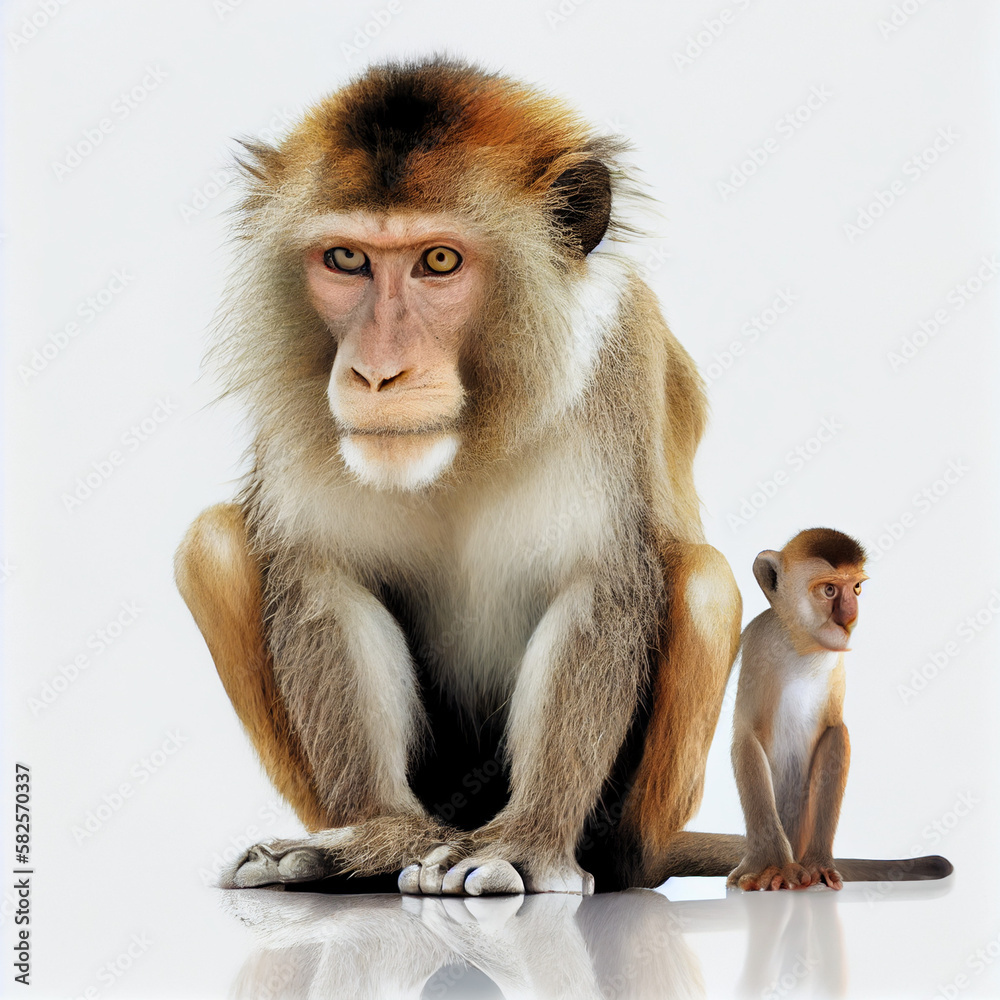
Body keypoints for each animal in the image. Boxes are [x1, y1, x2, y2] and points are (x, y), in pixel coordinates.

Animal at [175, 59, 950, 896]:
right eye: (346, 259)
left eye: (439, 261)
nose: (376, 374)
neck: (478, 427)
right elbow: (323, 575)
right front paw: (373, 839)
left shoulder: (614, 368)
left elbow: (599, 588)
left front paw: (526, 843)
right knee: (210, 542)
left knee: (707, 580)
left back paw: (607, 862)